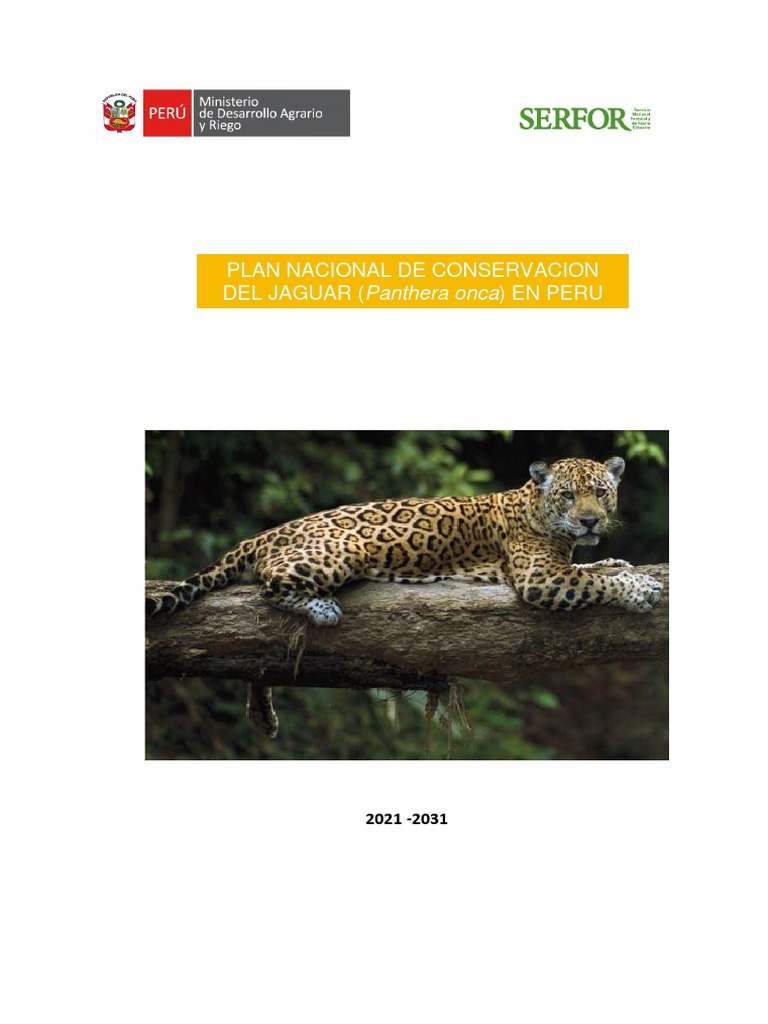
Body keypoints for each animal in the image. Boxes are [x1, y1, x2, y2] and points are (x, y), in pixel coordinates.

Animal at [146, 456, 663, 624]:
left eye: (600, 493)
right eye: (568, 495)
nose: (590, 521)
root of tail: (264, 533)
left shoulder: (561, 563)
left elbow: (590, 569)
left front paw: (615, 562)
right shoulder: (541, 578)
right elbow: (592, 584)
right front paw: (639, 589)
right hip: (338, 552)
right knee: (269, 584)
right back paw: (322, 609)